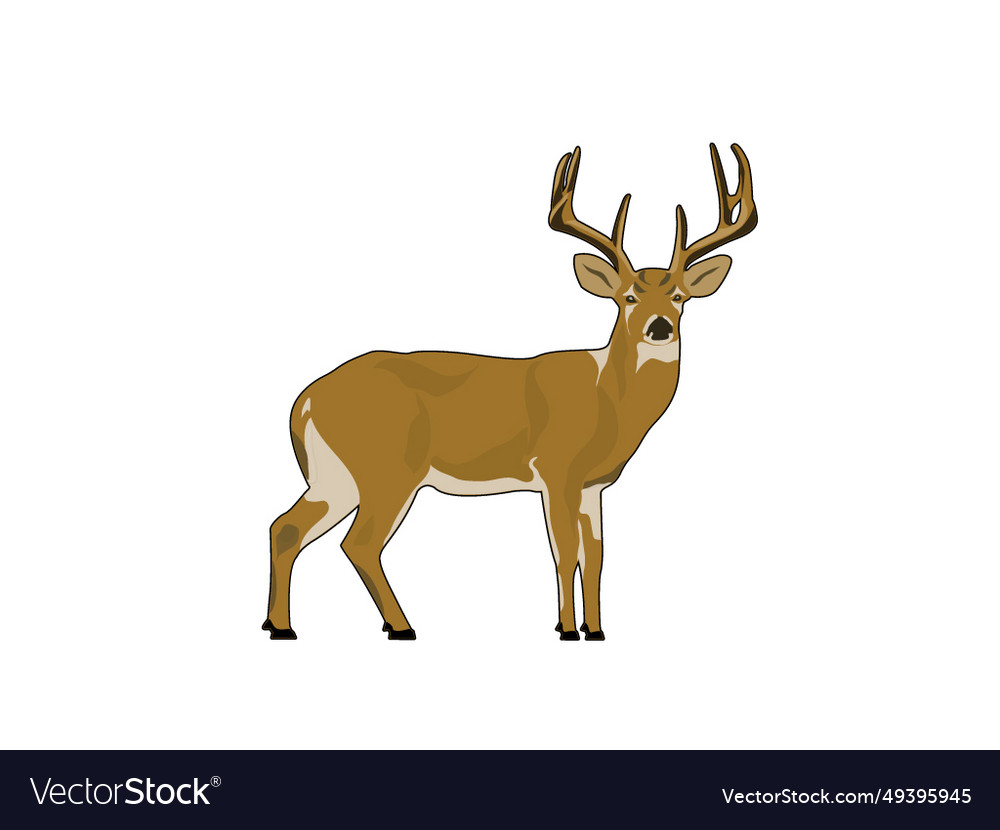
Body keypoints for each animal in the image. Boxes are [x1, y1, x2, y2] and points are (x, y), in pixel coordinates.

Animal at [263, 143, 757, 641]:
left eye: (678, 297)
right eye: (628, 298)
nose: (659, 328)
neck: (607, 400)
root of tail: (305, 400)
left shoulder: (593, 485)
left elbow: (596, 557)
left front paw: (596, 630)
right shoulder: (557, 470)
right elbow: (564, 553)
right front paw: (567, 630)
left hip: (337, 475)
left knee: (286, 528)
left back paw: (280, 625)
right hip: (389, 469)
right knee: (359, 543)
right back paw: (401, 626)